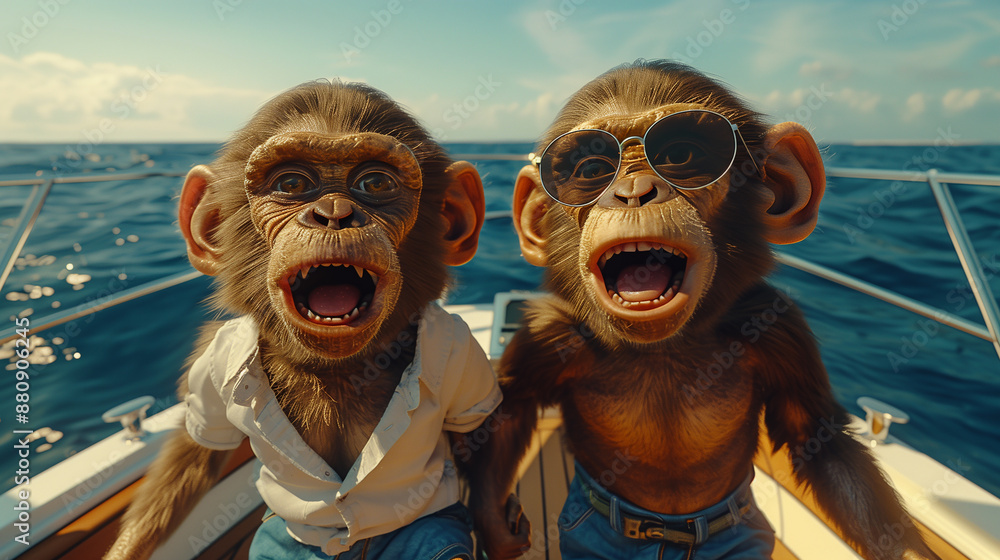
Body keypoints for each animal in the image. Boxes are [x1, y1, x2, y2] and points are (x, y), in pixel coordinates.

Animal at [104, 80, 499, 560]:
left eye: (375, 182)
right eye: (291, 183)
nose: (333, 213)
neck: (336, 371)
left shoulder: (458, 348)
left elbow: (477, 429)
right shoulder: (212, 362)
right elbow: (195, 451)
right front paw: (126, 548)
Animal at [467, 61, 938, 560]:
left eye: (680, 155)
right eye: (592, 168)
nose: (632, 191)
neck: (663, 348)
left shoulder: (777, 326)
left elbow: (816, 436)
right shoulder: (552, 336)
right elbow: (512, 408)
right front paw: (496, 526)